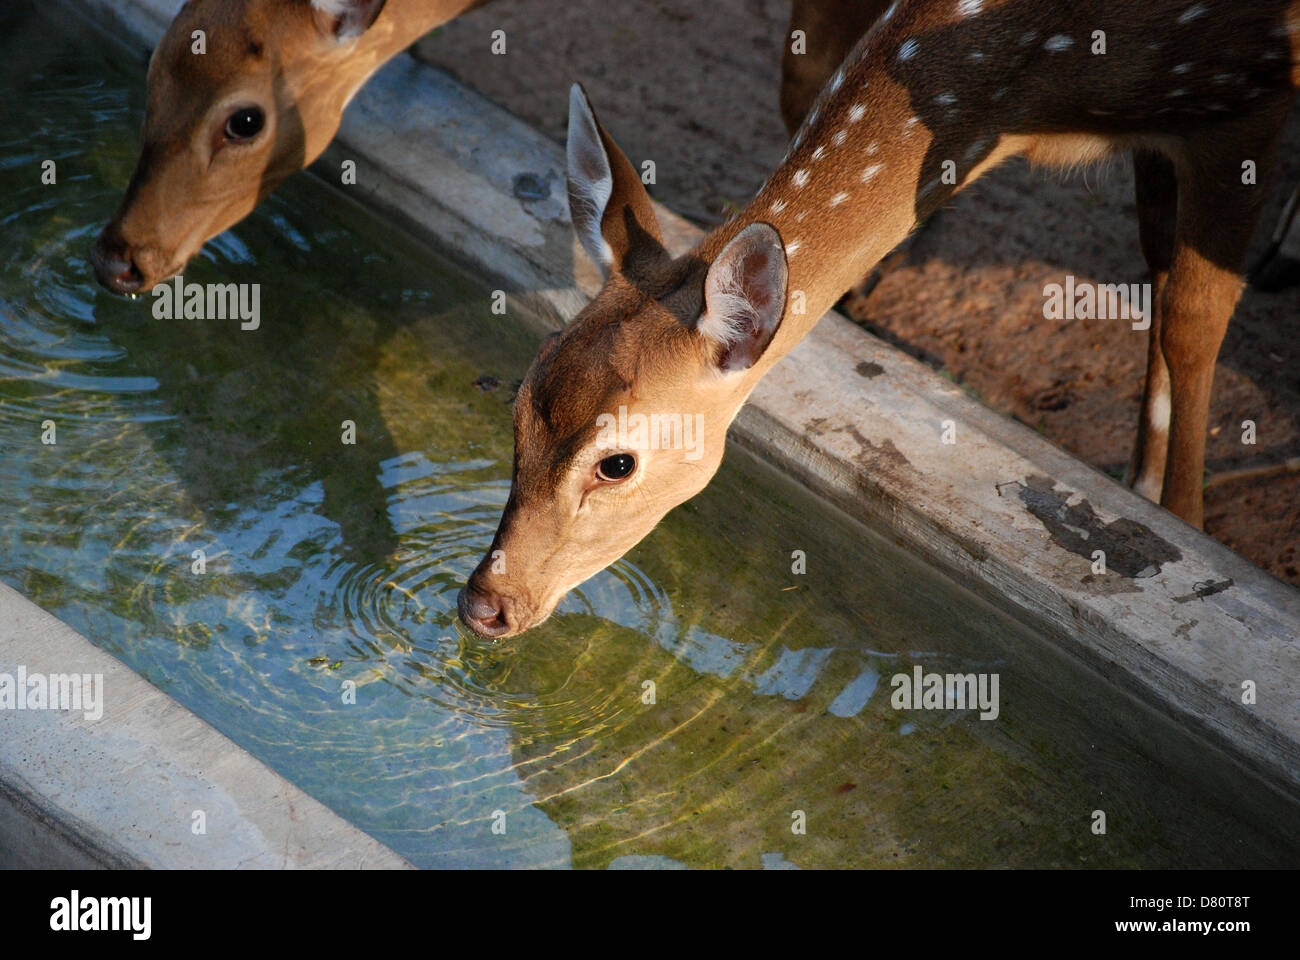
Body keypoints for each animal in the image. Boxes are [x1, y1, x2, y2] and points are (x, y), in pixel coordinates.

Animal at [457, 0, 1300, 639]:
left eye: (618, 463)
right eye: (519, 405)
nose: (484, 605)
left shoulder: (1242, 100)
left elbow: (1192, 323)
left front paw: (1180, 521)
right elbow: (1158, 282)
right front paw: (1142, 490)